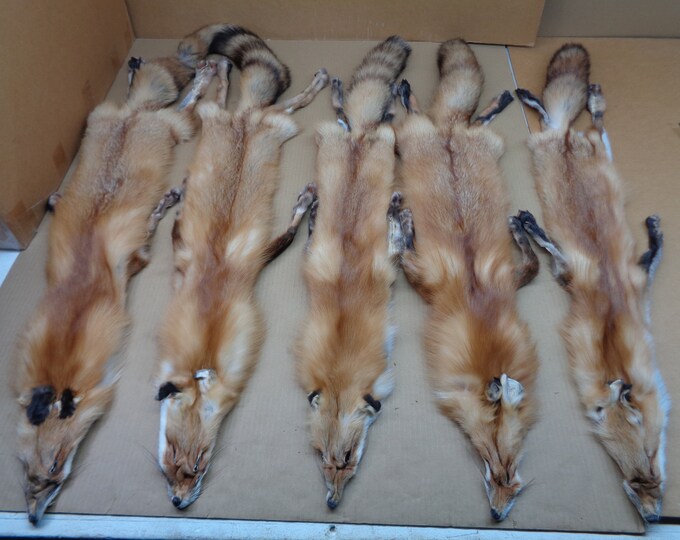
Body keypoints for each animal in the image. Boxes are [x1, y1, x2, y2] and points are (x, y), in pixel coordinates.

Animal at [13, 53, 215, 524]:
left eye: (55, 466)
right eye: (25, 470)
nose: (32, 519)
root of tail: (133, 117)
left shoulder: (132, 264)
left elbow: (148, 237)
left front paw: (164, 206)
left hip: (177, 127)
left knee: (191, 105)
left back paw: (210, 72)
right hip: (103, 116)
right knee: (151, 95)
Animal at [153, 25, 329, 510]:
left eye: (199, 464)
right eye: (170, 458)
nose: (178, 503)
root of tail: (245, 119)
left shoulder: (252, 261)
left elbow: (288, 235)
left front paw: (305, 205)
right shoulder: (185, 254)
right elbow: (176, 224)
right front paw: (178, 194)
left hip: (277, 125)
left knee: (285, 102)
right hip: (233, 118)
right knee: (230, 99)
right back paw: (217, 73)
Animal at [394, 39, 539, 521]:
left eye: (515, 480)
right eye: (495, 465)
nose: (497, 515)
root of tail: (449, 131)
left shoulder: (507, 278)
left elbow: (532, 263)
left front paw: (524, 230)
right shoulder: (431, 279)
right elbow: (402, 250)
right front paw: (400, 221)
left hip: (488, 142)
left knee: (474, 118)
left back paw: (499, 101)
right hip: (404, 136)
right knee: (413, 113)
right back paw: (403, 92)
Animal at [515, 43, 669, 522]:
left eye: (651, 470)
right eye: (633, 482)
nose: (654, 518)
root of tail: (566, 141)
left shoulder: (632, 281)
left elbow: (649, 255)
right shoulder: (590, 277)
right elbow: (559, 254)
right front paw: (530, 226)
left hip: (596, 152)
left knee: (579, 122)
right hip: (588, 149)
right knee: (578, 122)